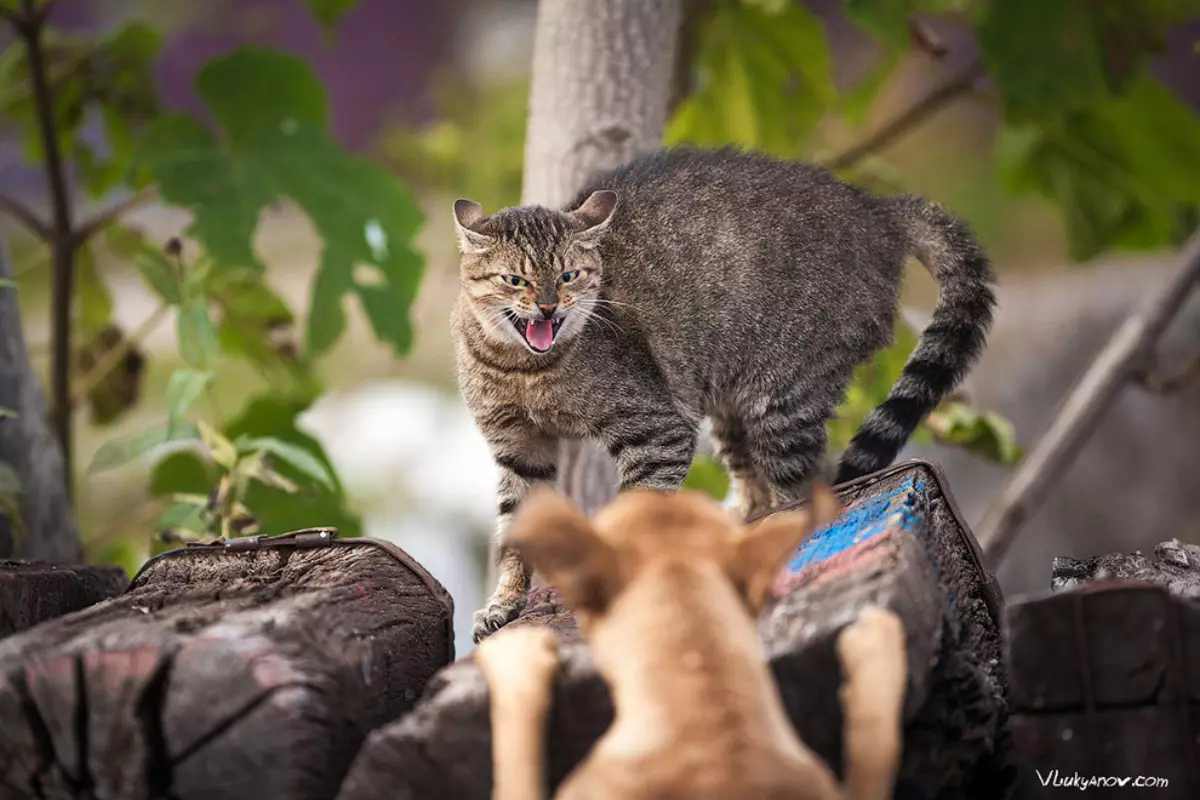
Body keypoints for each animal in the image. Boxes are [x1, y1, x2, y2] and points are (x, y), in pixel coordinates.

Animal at [451, 145, 993, 642]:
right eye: (515, 280)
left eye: (569, 276)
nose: (547, 307)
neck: (523, 370)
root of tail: (872, 206)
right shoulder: (518, 447)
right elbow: (515, 529)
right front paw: (504, 603)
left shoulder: (656, 429)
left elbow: (638, 507)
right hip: (729, 404)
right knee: (757, 487)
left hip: (780, 400)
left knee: (808, 491)